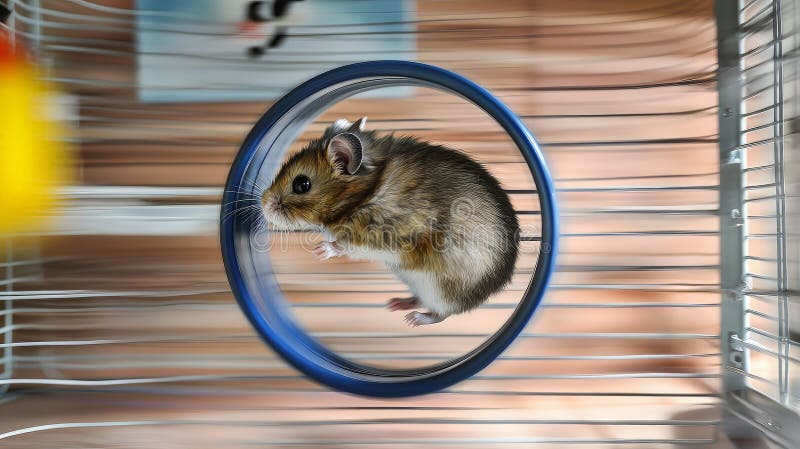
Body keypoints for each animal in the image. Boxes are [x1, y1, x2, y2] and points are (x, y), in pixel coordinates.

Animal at [262, 117, 519, 326]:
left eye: (301, 184)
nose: (262, 204)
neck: (365, 193)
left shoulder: (384, 235)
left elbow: (347, 245)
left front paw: (321, 250)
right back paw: (396, 303)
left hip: (442, 290)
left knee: (442, 314)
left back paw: (415, 319)